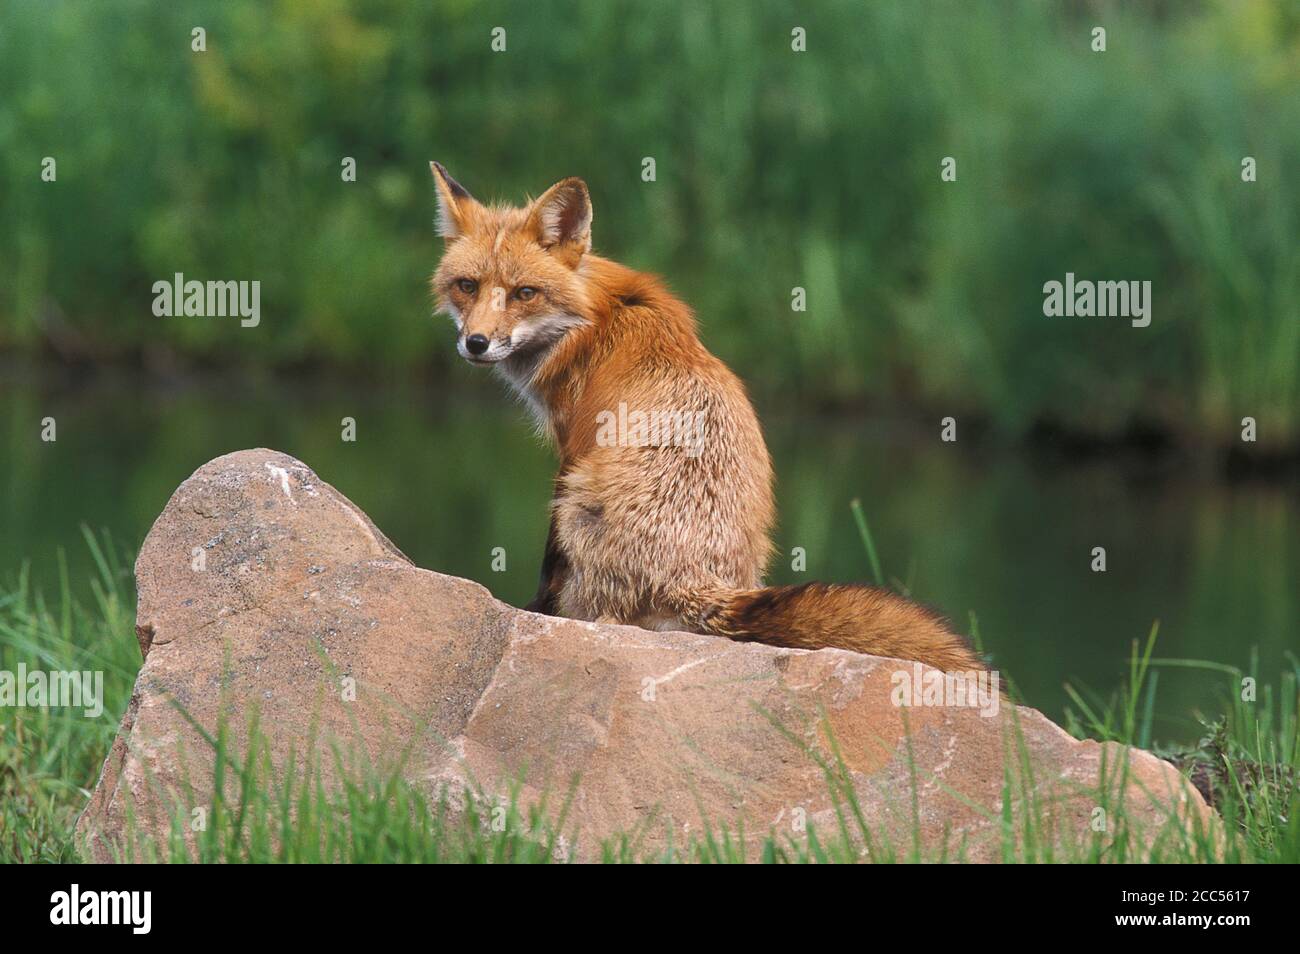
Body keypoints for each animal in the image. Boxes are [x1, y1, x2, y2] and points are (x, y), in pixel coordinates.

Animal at [429, 162, 985, 673]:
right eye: (467, 286)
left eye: (524, 293)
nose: (475, 343)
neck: (590, 320)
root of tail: (696, 581)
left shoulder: (573, 452)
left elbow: (548, 566)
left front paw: (535, 610)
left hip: (581, 504)